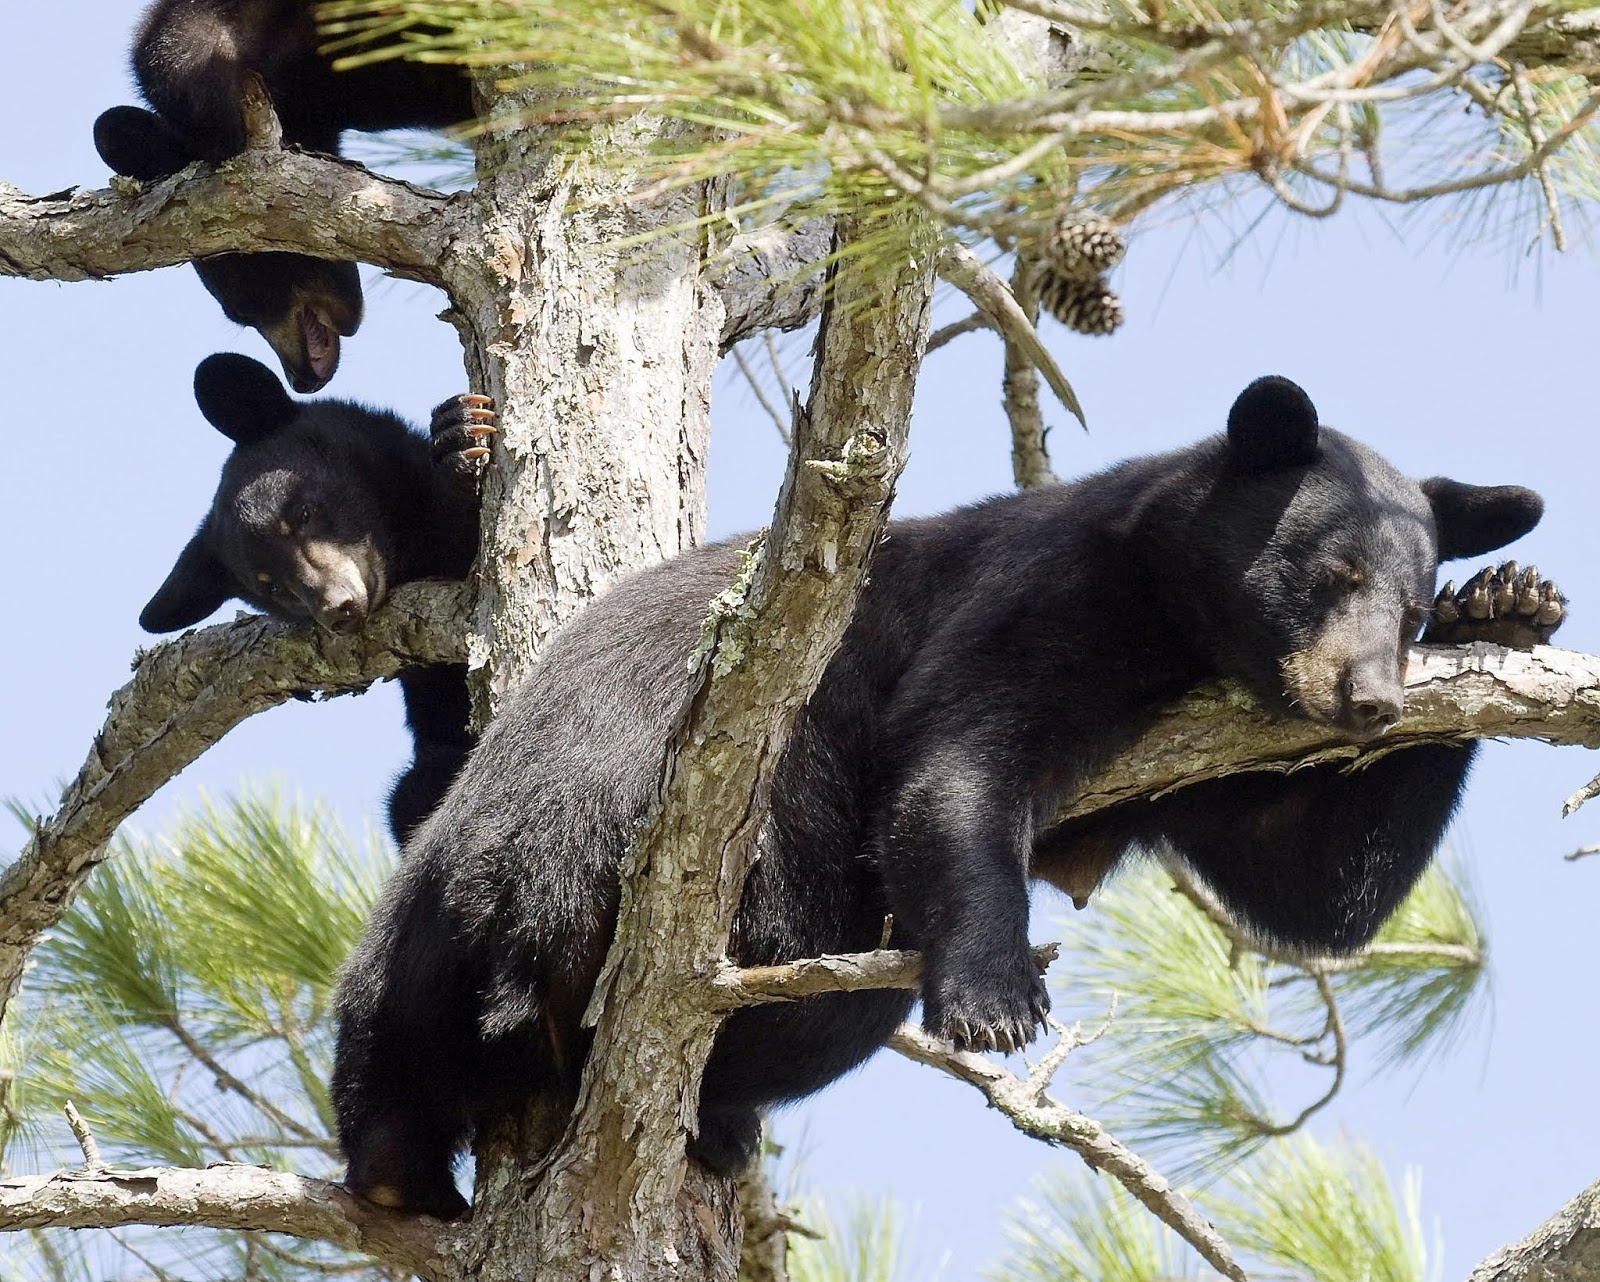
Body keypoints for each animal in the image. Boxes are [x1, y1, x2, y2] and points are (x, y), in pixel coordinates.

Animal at [330, 375, 1562, 1220]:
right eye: (1330, 575)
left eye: (1410, 609)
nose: (1369, 702)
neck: (1177, 626)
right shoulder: (1040, 591)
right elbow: (959, 761)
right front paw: (995, 995)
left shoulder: (1206, 760)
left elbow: (1310, 888)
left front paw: (1506, 604)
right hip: (674, 847)